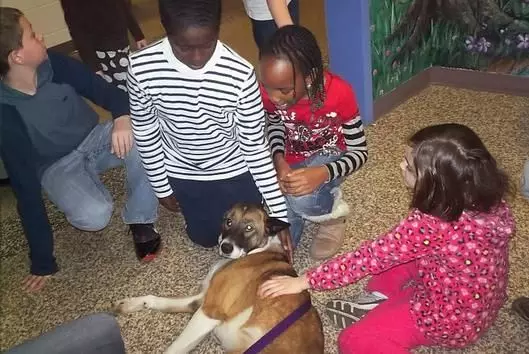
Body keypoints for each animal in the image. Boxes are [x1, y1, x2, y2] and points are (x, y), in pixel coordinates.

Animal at [113, 202, 324, 354]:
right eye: (228, 221)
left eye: (249, 227)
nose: (225, 247)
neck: (257, 250)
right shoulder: (203, 300)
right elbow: (157, 300)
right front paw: (132, 303)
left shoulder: (210, 311)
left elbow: (174, 348)